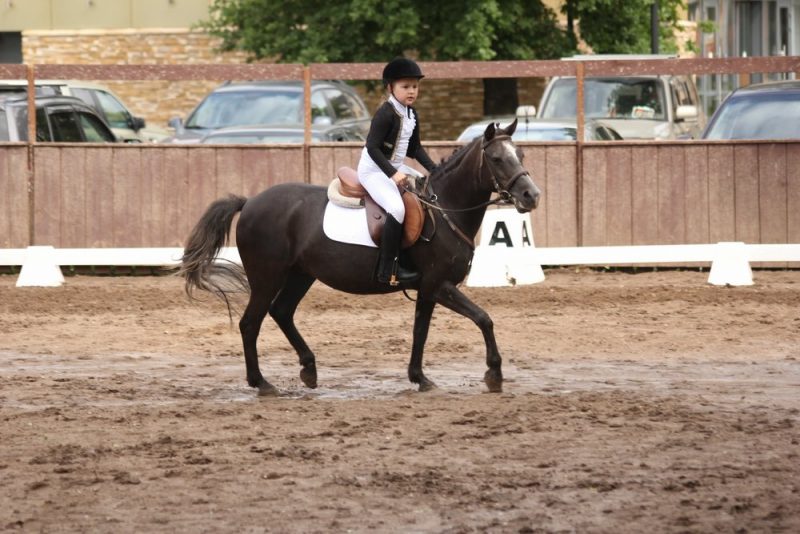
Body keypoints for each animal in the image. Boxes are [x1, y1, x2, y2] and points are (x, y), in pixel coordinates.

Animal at [180, 121, 540, 398]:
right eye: (497, 158)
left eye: (521, 155)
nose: (531, 196)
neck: (446, 209)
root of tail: (250, 201)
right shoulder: (440, 285)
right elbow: (484, 319)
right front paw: (494, 375)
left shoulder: (428, 289)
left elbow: (420, 332)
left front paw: (419, 378)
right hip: (266, 277)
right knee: (250, 323)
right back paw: (262, 383)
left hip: (301, 274)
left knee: (281, 312)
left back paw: (309, 369)